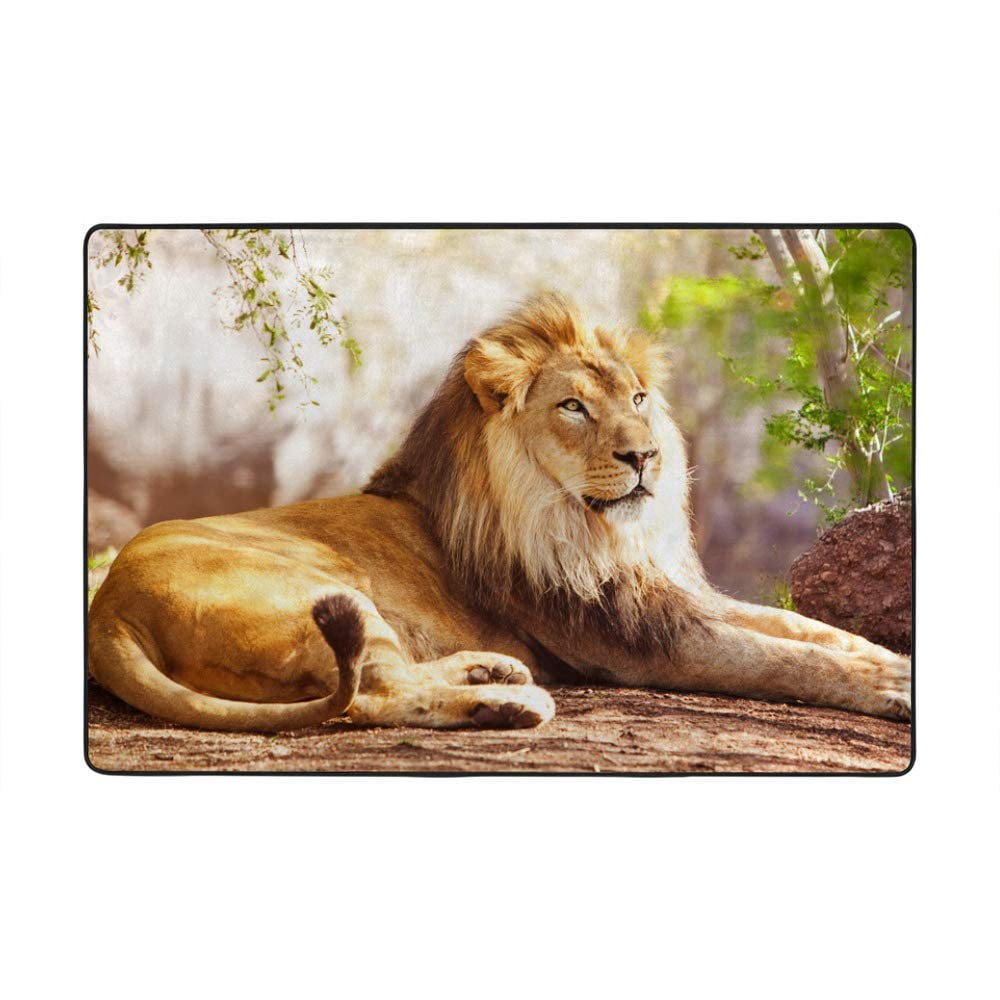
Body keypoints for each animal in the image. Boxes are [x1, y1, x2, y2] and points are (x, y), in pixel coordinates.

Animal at [88, 293, 911, 732]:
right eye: (574, 407)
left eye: (639, 397)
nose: (646, 456)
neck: (592, 528)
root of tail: (108, 611)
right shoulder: (639, 642)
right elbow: (783, 657)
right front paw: (893, 691)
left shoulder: (664, 597)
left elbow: (809, 630)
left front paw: (891, 661)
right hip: (318, 591)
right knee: (371, 694)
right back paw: (510, 705)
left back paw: (491, 669)